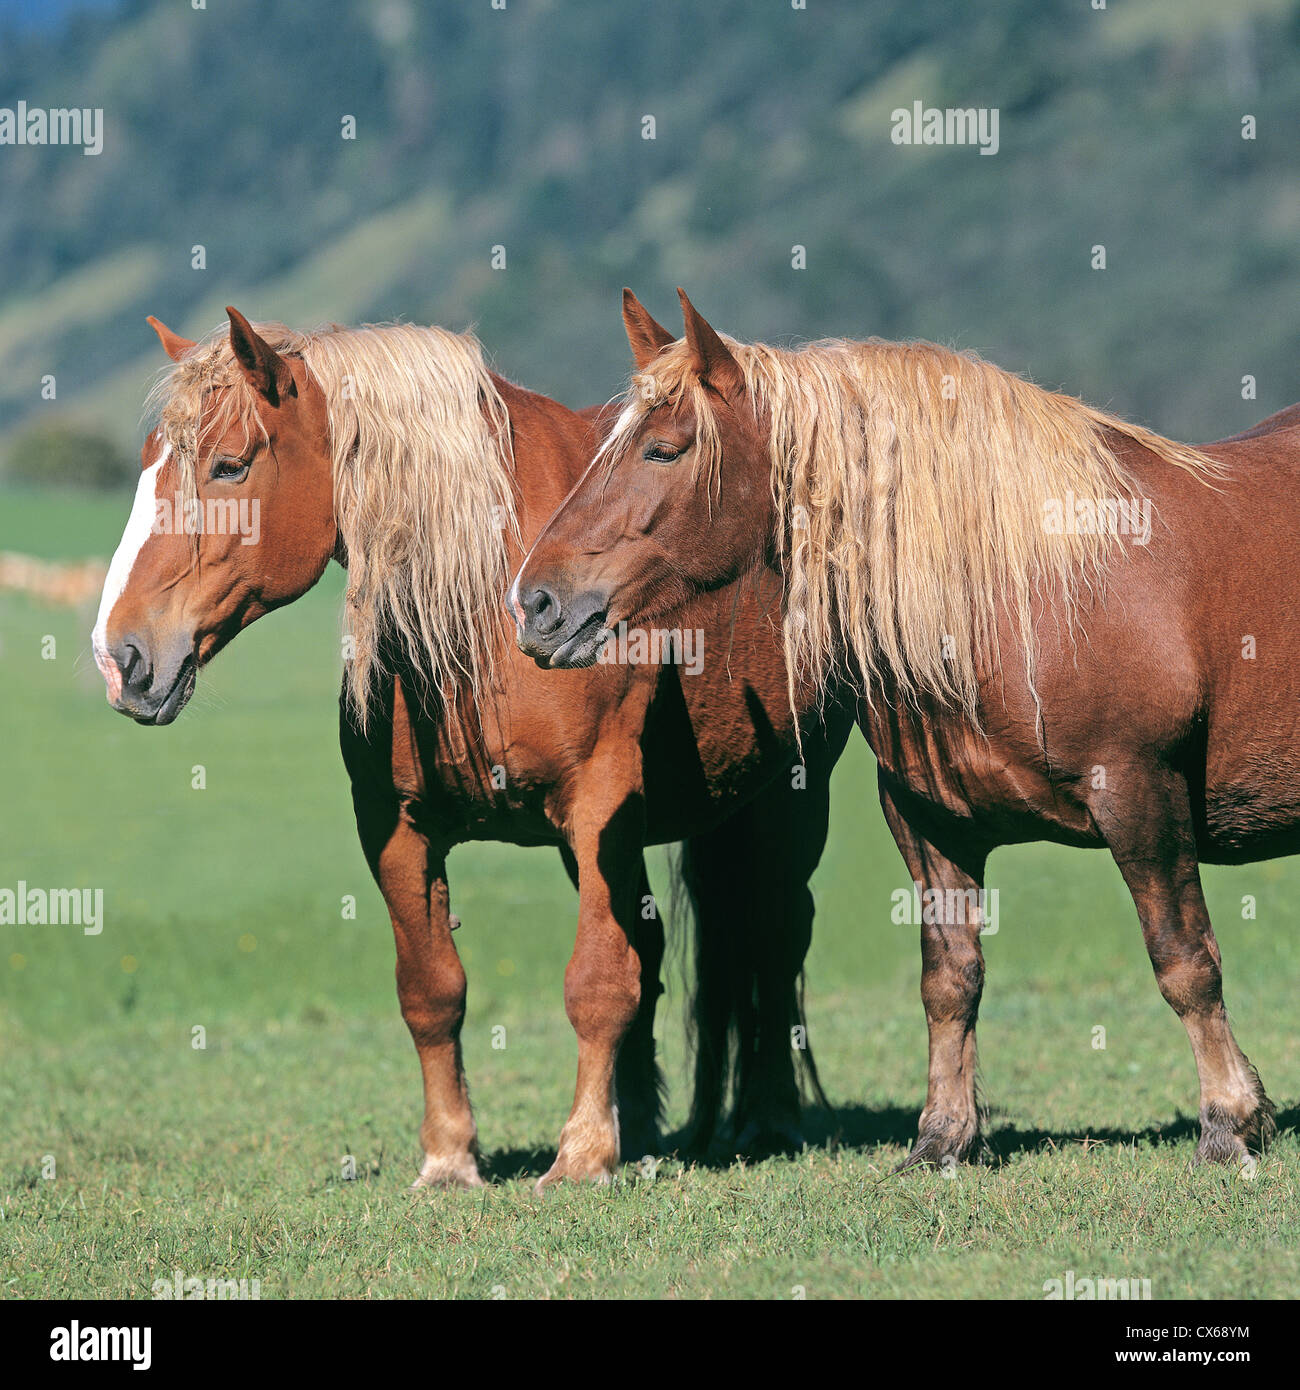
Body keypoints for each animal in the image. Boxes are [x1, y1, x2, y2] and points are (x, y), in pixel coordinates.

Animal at [91, 304, 851, 1189]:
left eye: (229, 466)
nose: (120, 658)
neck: (490, 602)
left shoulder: (601, 806)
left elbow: (597, 981)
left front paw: (580, 1158)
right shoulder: (397, 827)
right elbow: (433, 991)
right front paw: (452, 1158)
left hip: (791, 798)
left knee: (774, 937)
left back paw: (765, 1118)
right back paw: (637, 1123)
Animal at [512, 287, 1297, 1170]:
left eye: (663, 451)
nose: (535, 603)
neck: (1022, 589)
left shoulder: (1140, 794)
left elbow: (1184, 959)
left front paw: (1230, 1121)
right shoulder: (929, 824)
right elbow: (949, 978)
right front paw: (942, 1137)